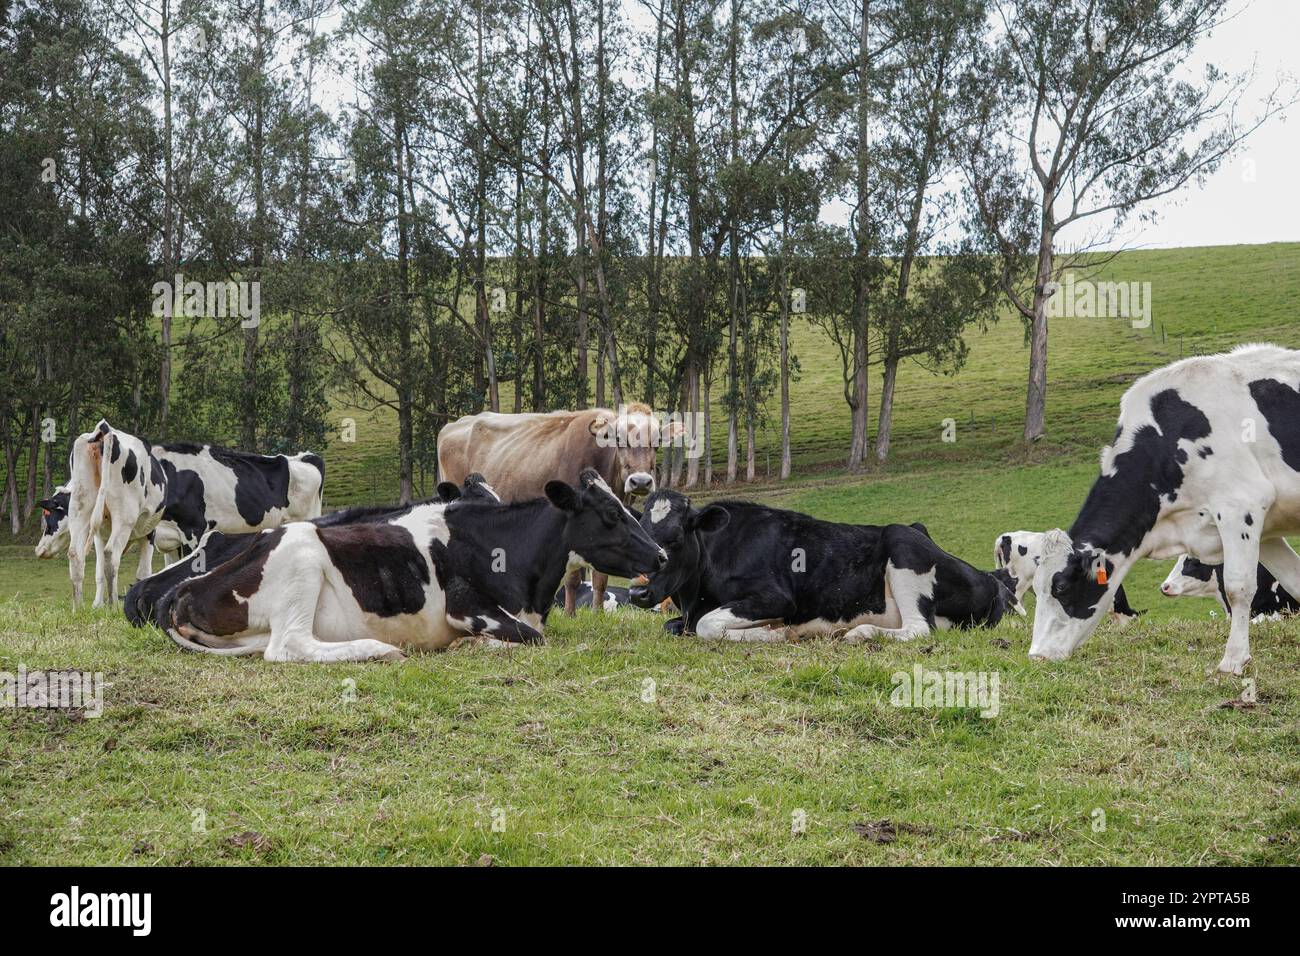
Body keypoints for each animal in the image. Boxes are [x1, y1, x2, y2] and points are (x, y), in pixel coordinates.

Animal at [438, 402, 684, 615]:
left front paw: (597, 613)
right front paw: (570, 613)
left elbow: (600, 578)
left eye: (658, 440)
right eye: (618, 439)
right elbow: (573, 578)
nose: (641, 481)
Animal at [627, 491, 1020, 642]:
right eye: (638, 531)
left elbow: (707, 625)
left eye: (676, 538)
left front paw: (772, 634)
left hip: (903, 542)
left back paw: (859, 632)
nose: (638, 591)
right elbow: (675, 626)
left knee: (919, 628)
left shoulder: (778, 598)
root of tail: (992, 582)